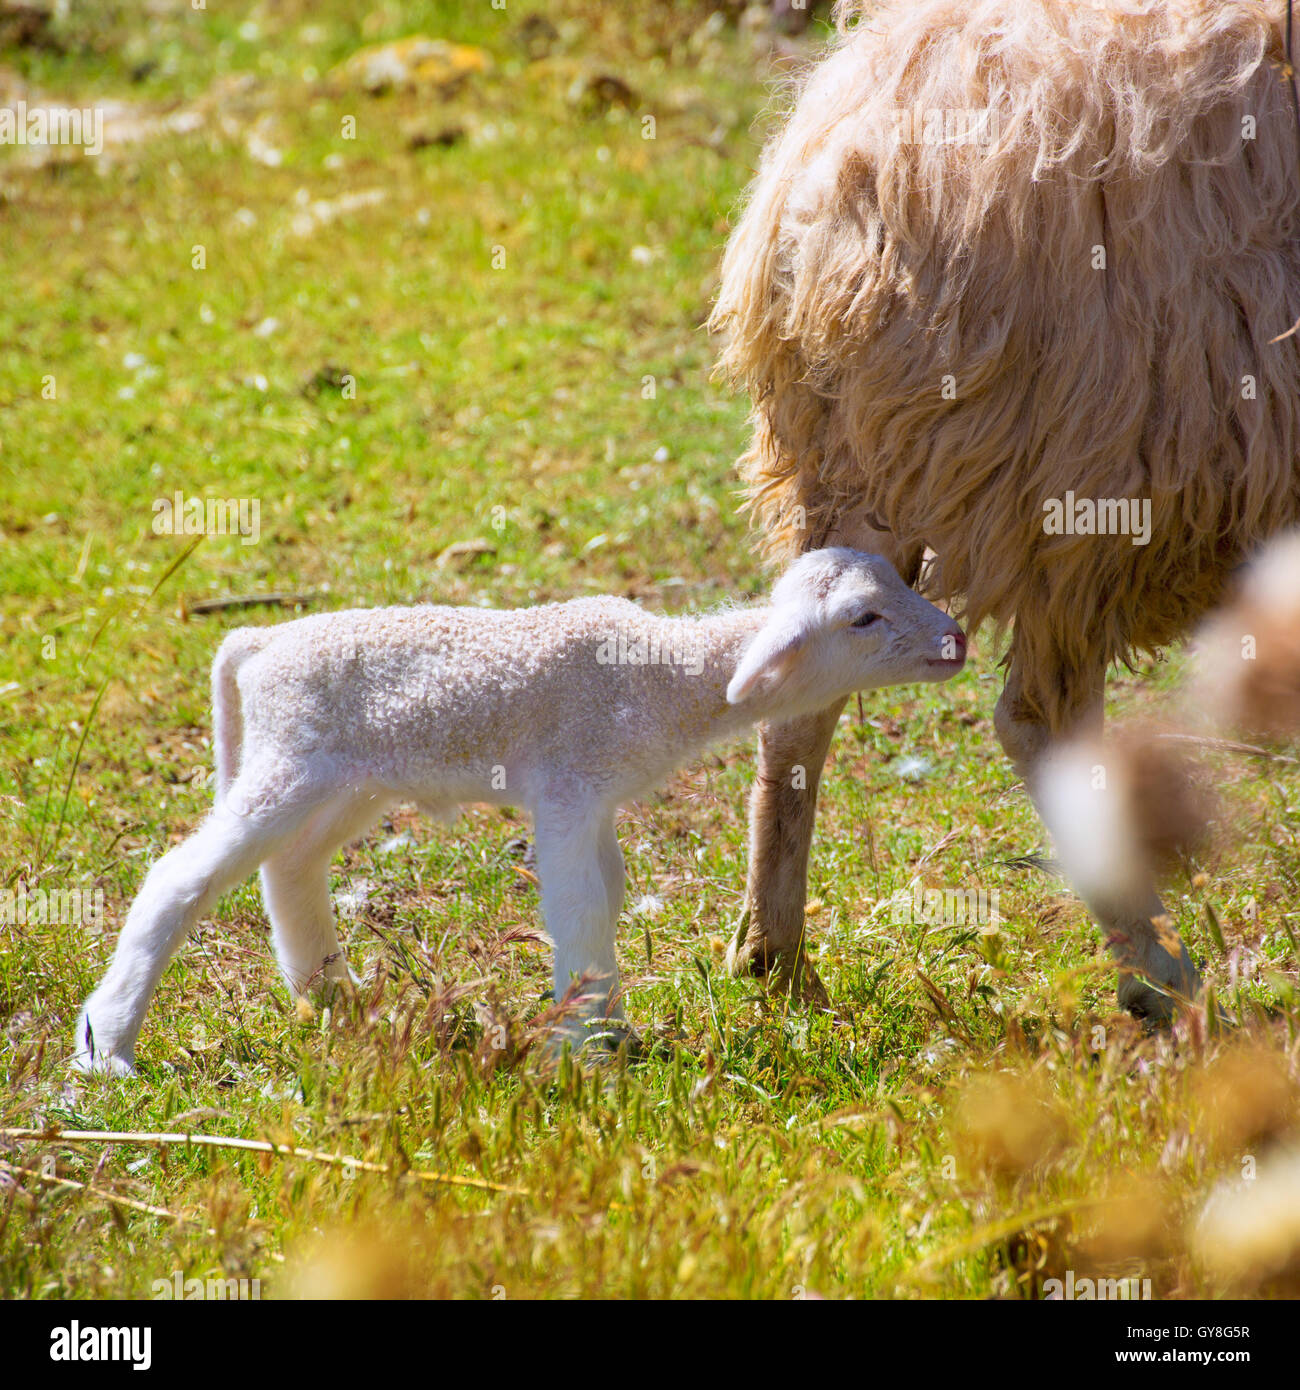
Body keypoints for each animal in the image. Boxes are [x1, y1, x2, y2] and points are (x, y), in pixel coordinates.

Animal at [74, 548, 966, 1074]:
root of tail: (255, 645)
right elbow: (578, 909)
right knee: (177, 878)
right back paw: (107, 1048)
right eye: (862, 617)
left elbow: (607, 894)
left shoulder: (595, 799)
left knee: (291, 866)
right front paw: (587, 1055)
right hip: (290, 761)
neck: (663, 678)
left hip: (347, 779)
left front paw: (607, 1027)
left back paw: (332, 995)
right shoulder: (566, 789)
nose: (955, 641)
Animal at [708, 0, 1300, 1019]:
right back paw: (1157, 970)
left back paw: (773, 959)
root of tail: (837, 167)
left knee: (797, 703)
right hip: (1087, 476)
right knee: (1038, 719)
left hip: (862, 462)